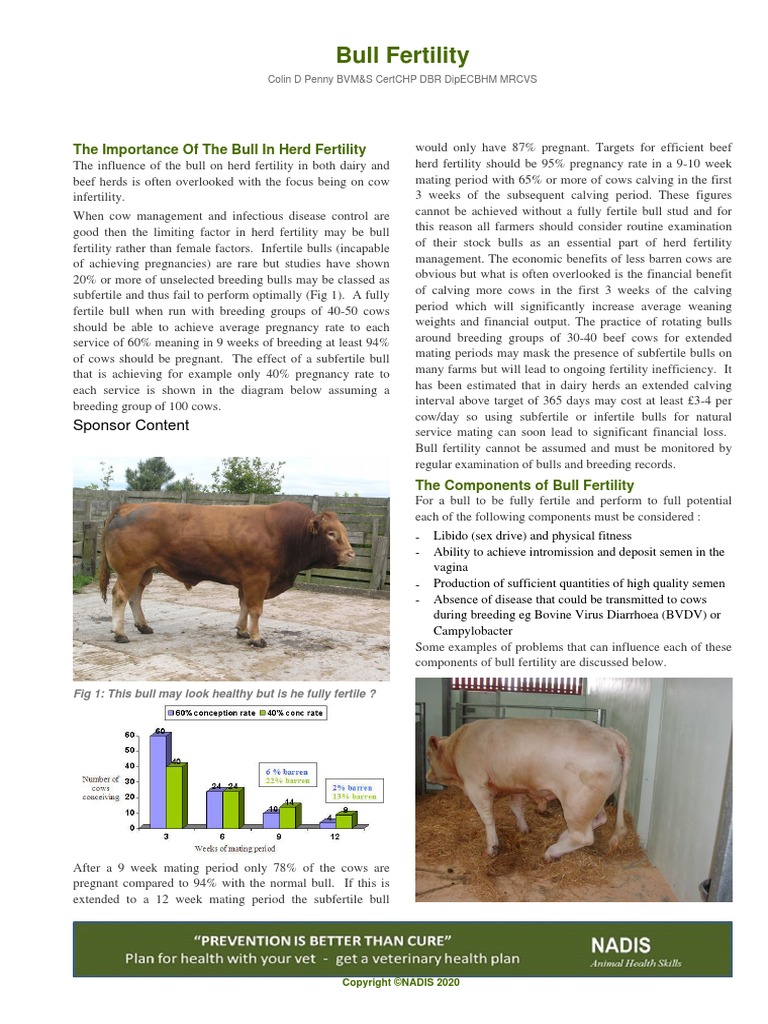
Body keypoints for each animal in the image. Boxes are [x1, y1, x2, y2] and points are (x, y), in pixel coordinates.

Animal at [98, 501, 355, 646]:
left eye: (343, 530)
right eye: (331, 533)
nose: (351, 554)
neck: (283, 532)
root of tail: (127, 507)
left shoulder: (246, 581)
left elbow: (244, 606)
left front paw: (242, 631)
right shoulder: (257, 579)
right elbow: (255, 609)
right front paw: (256, 638)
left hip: (143, 571)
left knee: (135, 597)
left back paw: (143, 626)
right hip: (130, 570)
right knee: (120, 596)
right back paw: (119, 633)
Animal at [426, 718, 630, 862]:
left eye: (428, 756)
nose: (427, 776)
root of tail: (609, 733)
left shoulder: (476, 785)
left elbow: (487, 818)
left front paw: (492, 848)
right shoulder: (515, 785)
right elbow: (516, 807)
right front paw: (523, 828)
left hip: (577, 802)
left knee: (583, 837)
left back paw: (551, 852)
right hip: (594, 799)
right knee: (599, 818)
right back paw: (562, 836)